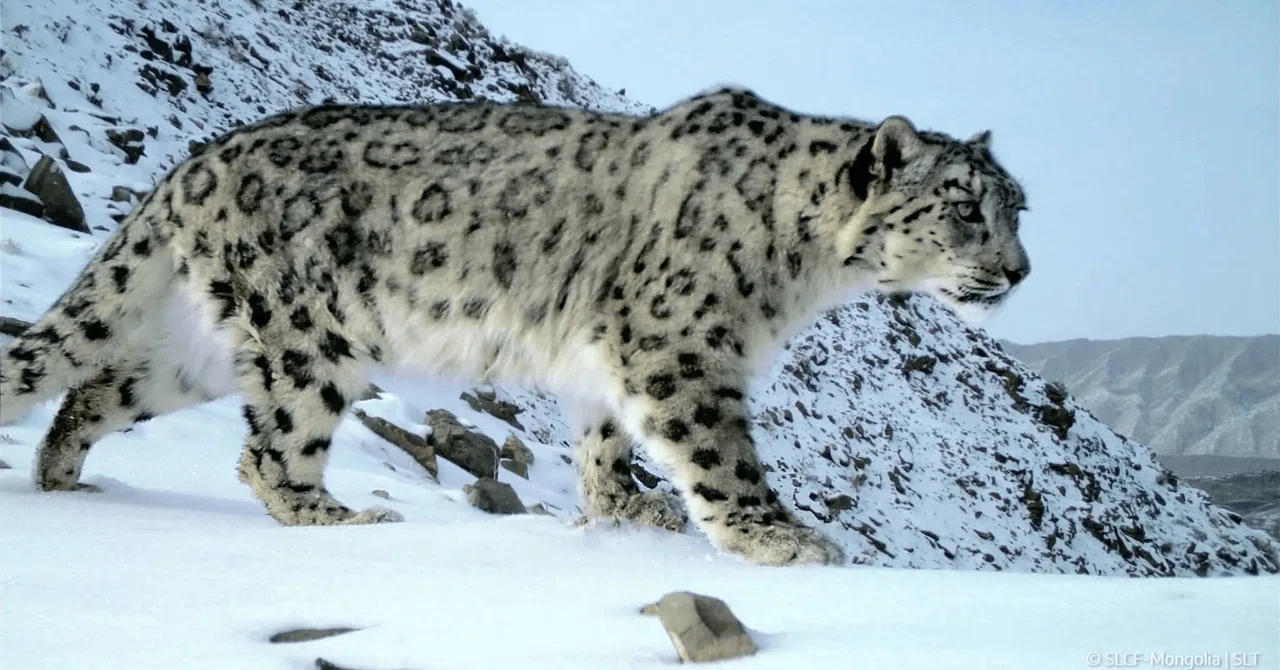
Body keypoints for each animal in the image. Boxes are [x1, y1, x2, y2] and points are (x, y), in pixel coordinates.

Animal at [0, 86, 1030, 566]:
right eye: (966, 210)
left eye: (1019, 207)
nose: (1020, 272)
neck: (806, 272)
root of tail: (196, 160)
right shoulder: (681, 343)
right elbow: (718, 451)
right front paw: (778, 538)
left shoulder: (609, 359)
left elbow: (606, 442)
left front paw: (626, 512)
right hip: (311, 331)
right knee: (270, 448)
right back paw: (345, 516)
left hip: (207, 353)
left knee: (96, 385)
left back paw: (66, 481)